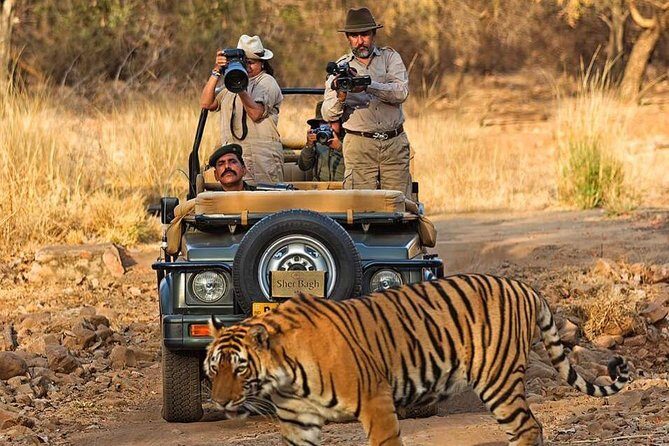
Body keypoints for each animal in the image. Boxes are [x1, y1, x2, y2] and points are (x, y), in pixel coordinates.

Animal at [204, 274, 629, 446]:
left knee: (527, 428)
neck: (285, 374)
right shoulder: (297, 423)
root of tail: (524, 286)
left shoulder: (376, 403)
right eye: (213, 368)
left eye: (239, 366)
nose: (221, 402)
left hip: (497, 379)